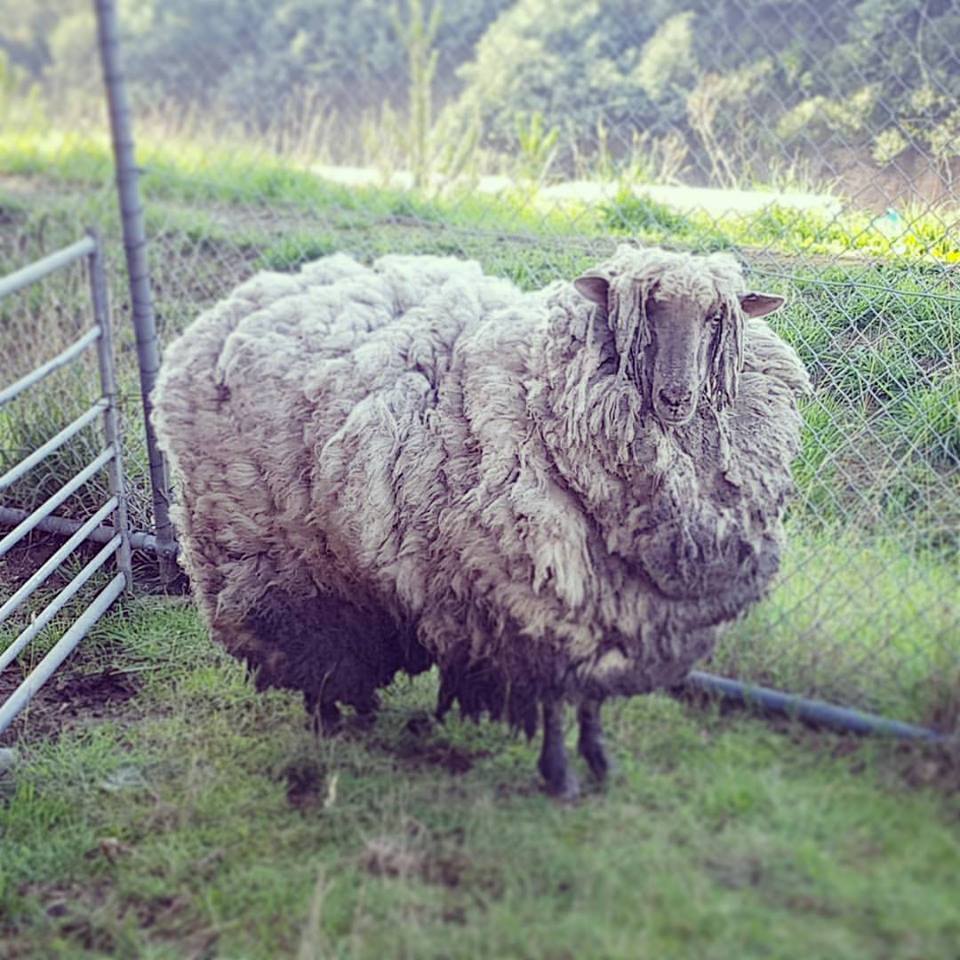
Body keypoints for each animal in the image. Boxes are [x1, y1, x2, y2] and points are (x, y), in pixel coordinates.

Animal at [152, 244, 810, 797]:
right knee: (300, 633)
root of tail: (238, 300)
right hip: (267, 548)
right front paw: (561, 776)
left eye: (717, 320)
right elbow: (555, 700)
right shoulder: (542, 607)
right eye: (647, 312)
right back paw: (327, 717)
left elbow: (591, 700)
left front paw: (600, 762)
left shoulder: (613, 610)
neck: (542, 397)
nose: (677, 397)